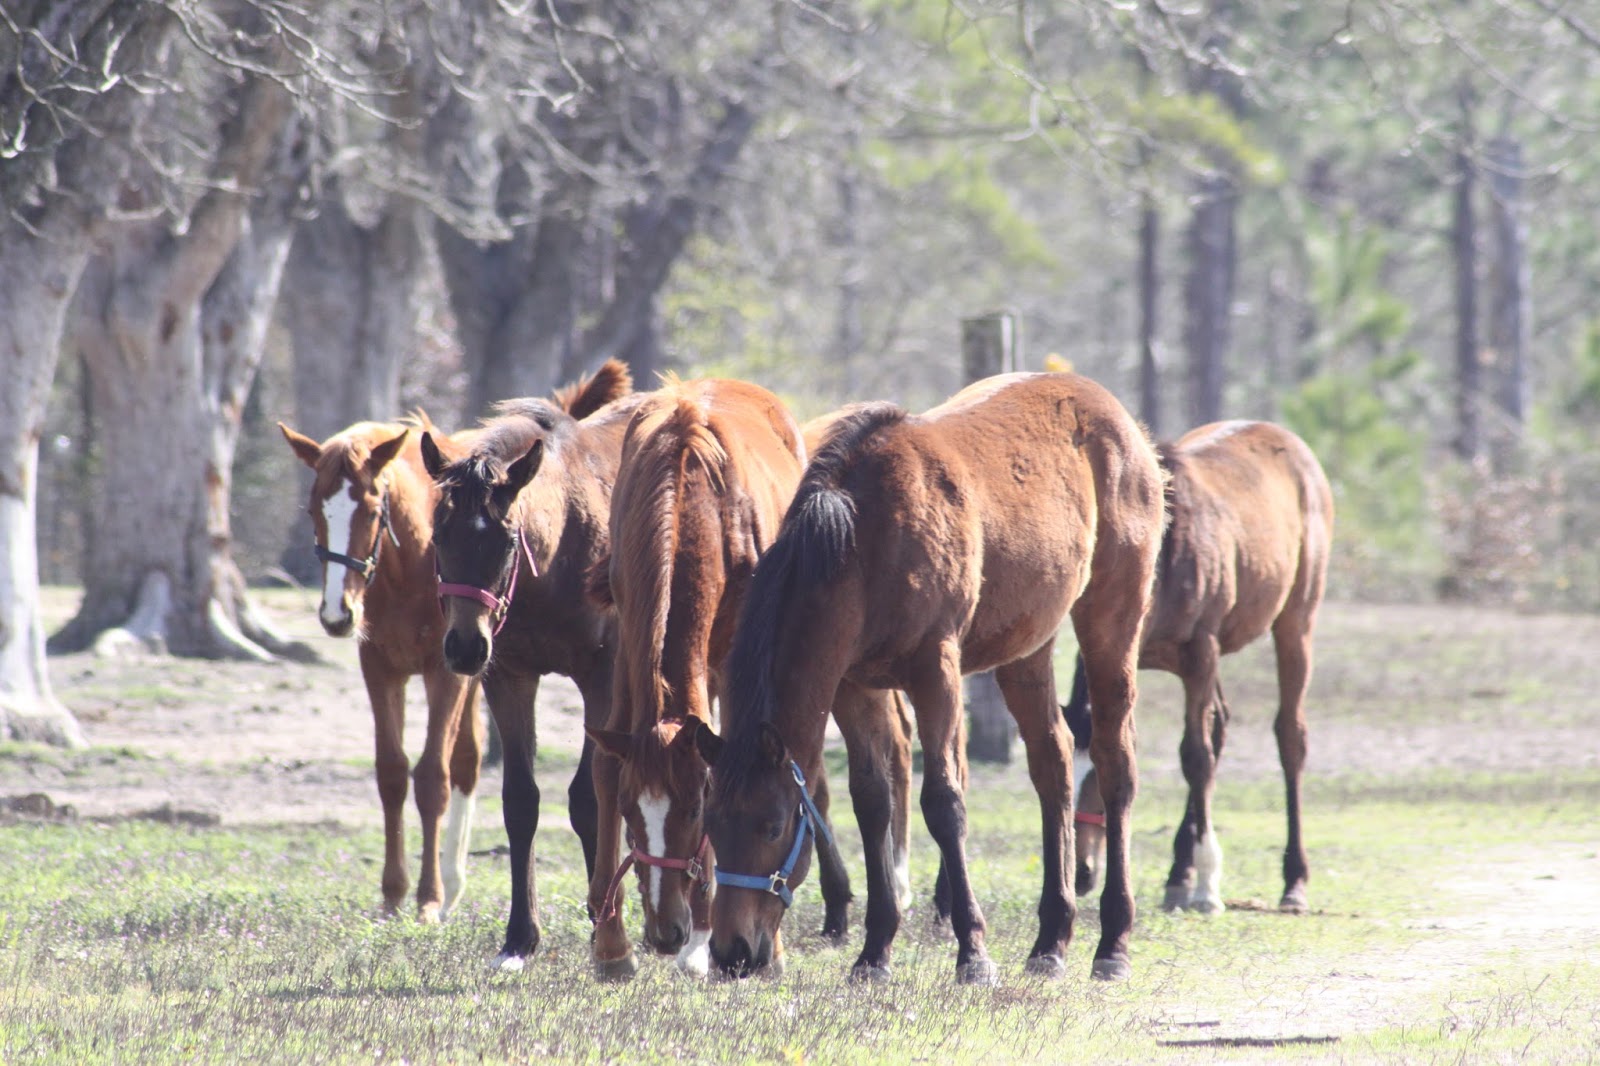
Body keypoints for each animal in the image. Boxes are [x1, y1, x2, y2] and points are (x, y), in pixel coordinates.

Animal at [278, 415, 484, 924]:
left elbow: (431, 777)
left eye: (372, 512)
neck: (411, 566)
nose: (337, 614)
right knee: (469, 757)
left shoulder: (445, 673)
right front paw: (393, 893)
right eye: (314, 511)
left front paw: (428, 899)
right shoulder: (380, 669)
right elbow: (391, 773)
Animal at [418, 359, 639, 971]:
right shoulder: (509, 677)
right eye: (438, 535)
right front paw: (520, 935)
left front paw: (604, 926)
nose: (463, 648)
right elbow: (521, 801)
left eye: (504, 540)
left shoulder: (601, 677)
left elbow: (590, 797)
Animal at [582, 379, 916, 978]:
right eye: (627, 811)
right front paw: (612, 946)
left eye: (695, 810)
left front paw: (724, 940)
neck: (688, 494)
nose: (667, 932)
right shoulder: (628, 638)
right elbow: (605, 761)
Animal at [695, 371, 1167, 984]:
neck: (861, 541)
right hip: (1027, 648)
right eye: (711, 824)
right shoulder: (854, 686)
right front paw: (874, 951)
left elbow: (944, 803)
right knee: (1054, 762)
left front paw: (973, 952)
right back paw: (1050, 941)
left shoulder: (934, 670)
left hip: (1113, 620)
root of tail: (1114, 414)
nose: (733, 953)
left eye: (773, 825)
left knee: (1114, 764)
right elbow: (872, 801)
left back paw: (1112, 942)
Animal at [1061, 420, 1334, 915]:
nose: (1082, 872)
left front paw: (1207, 885)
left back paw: (1294, 882)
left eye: (1096, 779)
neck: (1165, 559)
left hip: (1296, 620)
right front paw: (1185, 875)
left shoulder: (1200, 653)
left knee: (1289, 737)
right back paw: (1178, 873)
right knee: (1220, 724)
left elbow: (1196, 757)